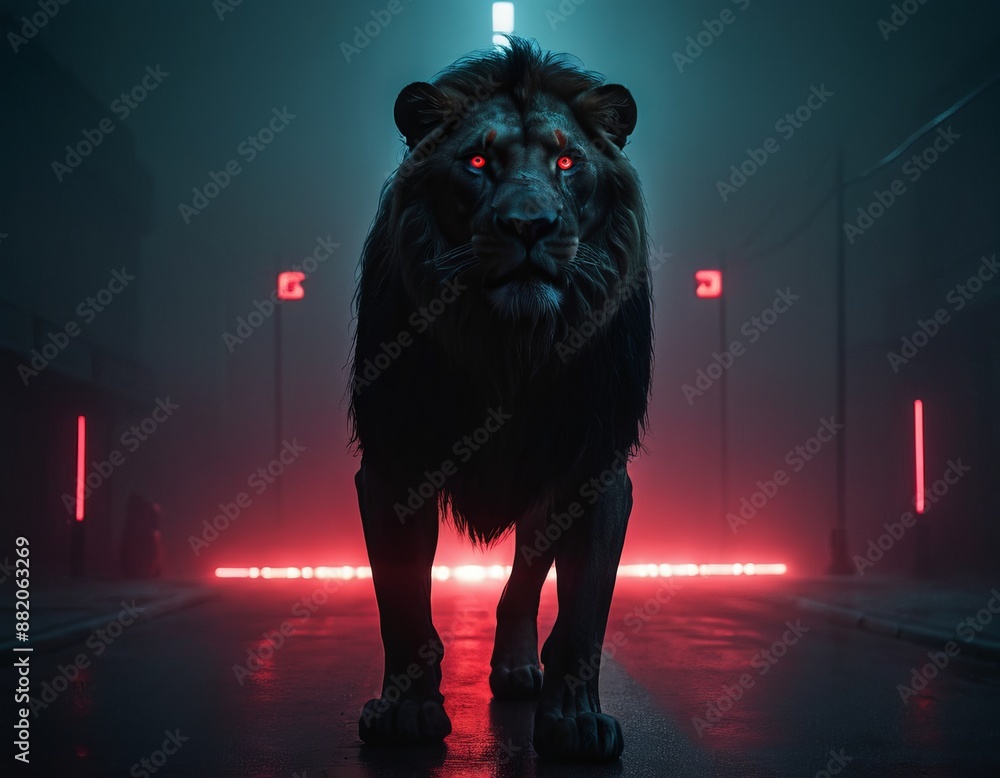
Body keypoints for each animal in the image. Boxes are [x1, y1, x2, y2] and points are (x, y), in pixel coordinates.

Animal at [349, 36, 652, 762]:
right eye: (478, 162)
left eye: (567, 162)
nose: (528, 225)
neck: (510, 345)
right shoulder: (394, 462)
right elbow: (403, 610)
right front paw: (406, 716)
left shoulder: (594, 466)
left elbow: (582, 619)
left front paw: (577, 724)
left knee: (521, 586)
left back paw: (518, 669)